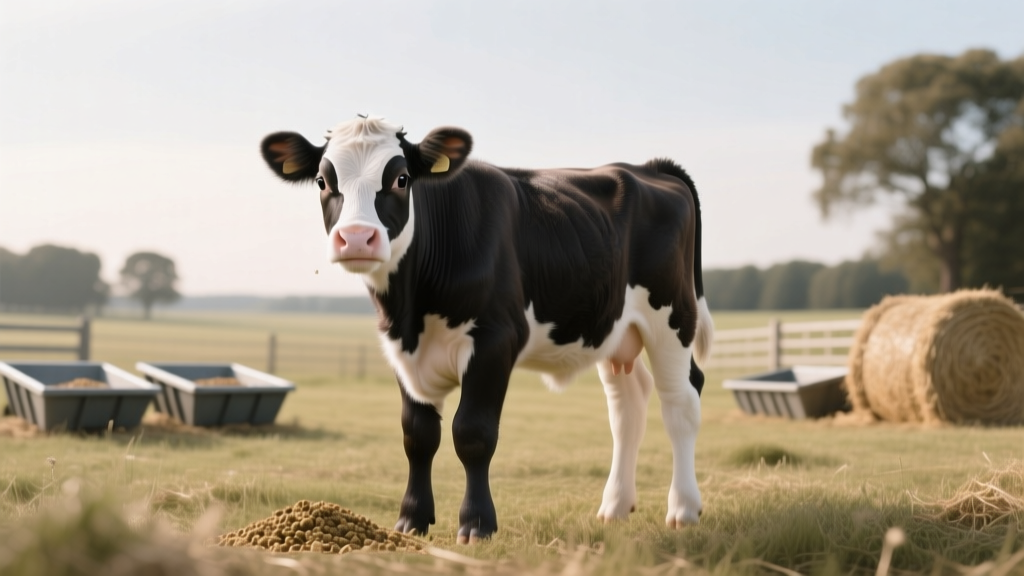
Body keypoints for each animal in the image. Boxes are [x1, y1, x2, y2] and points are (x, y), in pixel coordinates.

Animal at [260, 116, 713, 543]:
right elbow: (417, 435)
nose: (356, 238)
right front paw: (411, 521)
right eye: (323, 180)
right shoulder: (401, 350)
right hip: (613, 328)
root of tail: (646, 167)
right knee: (627, 404)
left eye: (401, 179)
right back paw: (615, 506)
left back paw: (683, 509)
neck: (412, 308)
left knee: (681, 402)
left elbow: (472, 433)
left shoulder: (495, 341)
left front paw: (477, 524)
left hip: (672, 317)